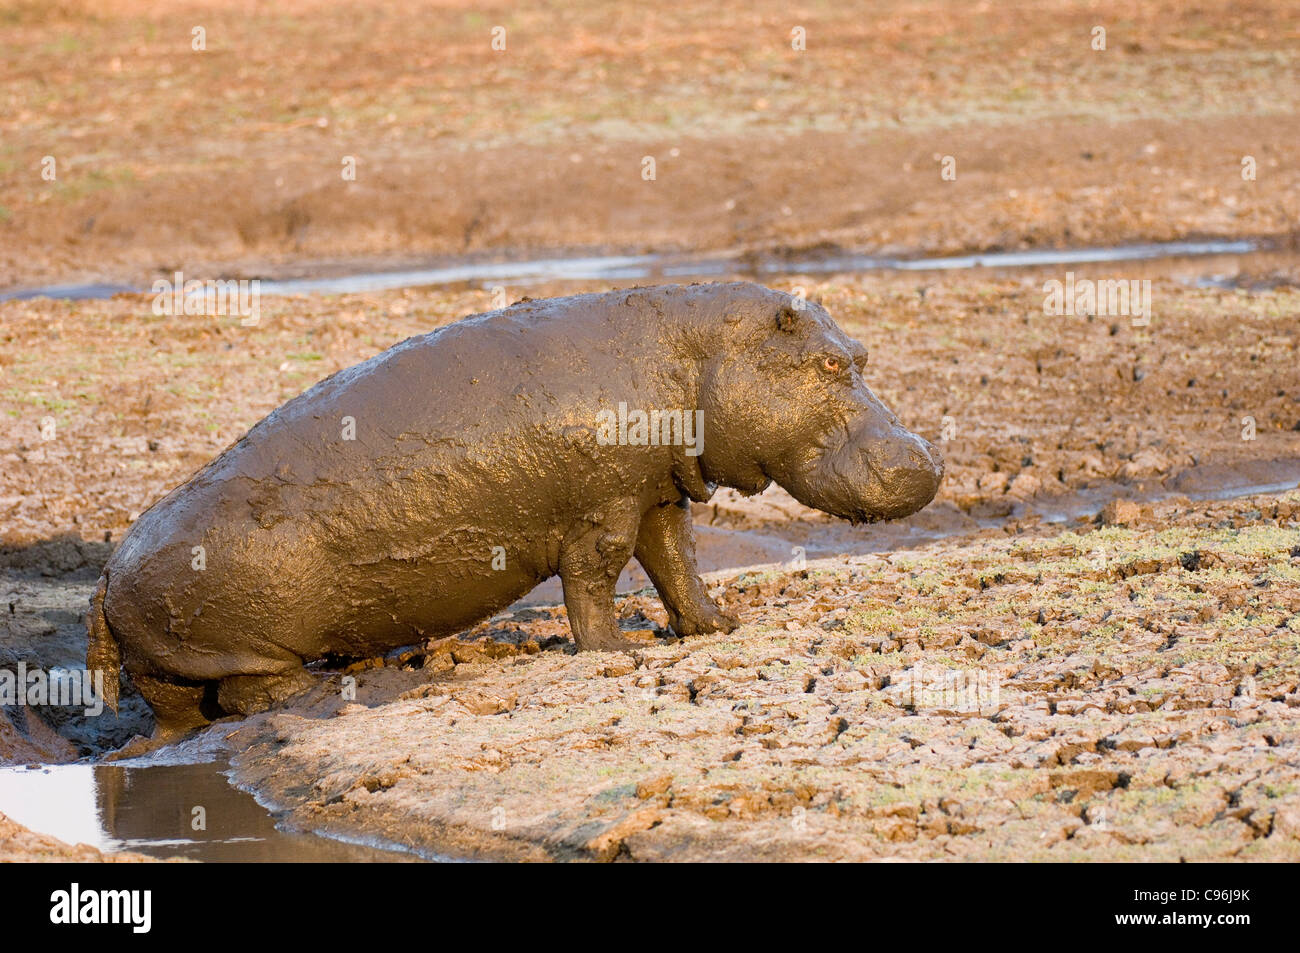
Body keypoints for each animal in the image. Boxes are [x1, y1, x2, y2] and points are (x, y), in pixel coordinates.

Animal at [88, 281, 942, 745]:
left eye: (861, 354)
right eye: (828, 363)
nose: (925, 458)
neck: (696, 352)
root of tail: (103, 575)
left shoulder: (656, 492)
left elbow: (677, 565)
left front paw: (720, 627)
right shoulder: (604, 506)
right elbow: (596, 579)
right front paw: (615, 651)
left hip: (164, 661)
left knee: (175, 712)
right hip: (238, 647)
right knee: (245, 694)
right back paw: (318, 692)